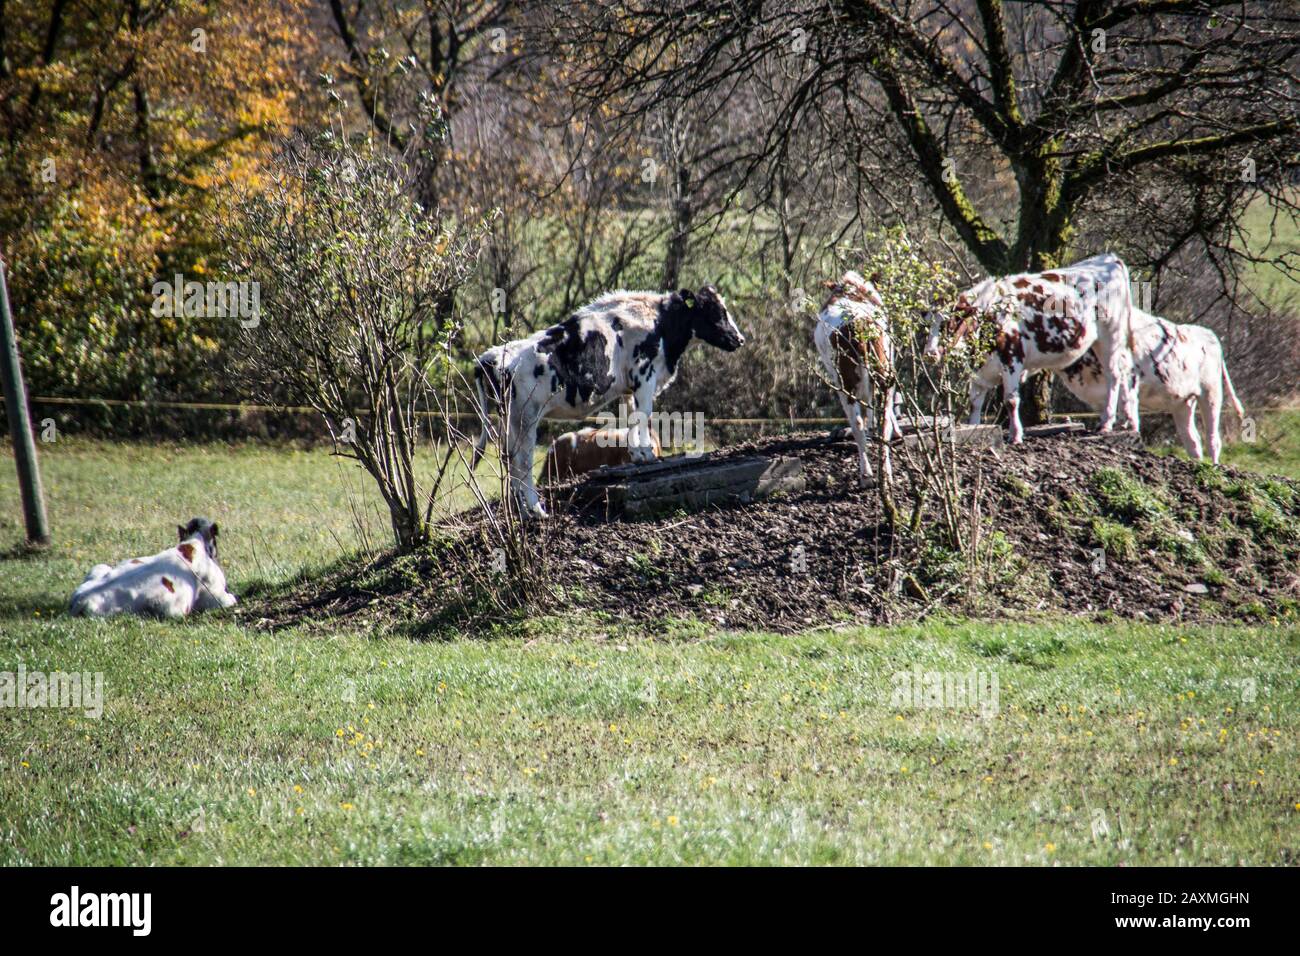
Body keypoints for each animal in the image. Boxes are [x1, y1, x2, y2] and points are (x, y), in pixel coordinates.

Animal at [470, 285, 744, 516]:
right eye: (716, 311)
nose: (740, 339)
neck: (660, 325)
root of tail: (491, 356)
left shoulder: (629, 386)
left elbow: (630, 418)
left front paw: (637, 453)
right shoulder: (645, 375)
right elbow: (644, 414)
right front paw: (646, 454)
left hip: (509, 420)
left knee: (509, 458)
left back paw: (520, 511)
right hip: (526, 417)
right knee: (522, 459)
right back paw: (536, 510)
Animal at [813, 270, 901, 486]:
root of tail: (859, 322)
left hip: (850, 381)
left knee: (863, 421)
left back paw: (872, 474)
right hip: (877, 375)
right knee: (874, 421)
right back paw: (877, 475)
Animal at [924, 253, 1138, 443]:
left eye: (947, 324)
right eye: (927, 326)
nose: (930, 354)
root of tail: (1109, 259)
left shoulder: (1012, 359)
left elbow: (1010, 401)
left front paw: (1015, 436)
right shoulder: (980, 371)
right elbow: (975, 403)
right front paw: (974, 429)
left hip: (1111, 336)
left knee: (1114, 375)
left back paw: (1107, 423)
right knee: (1124, 372)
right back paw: (1127, 422)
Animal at [1059, 308, 1245, 463]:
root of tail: (1207, 332)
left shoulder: (1130, 380)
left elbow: (1129, 408)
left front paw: (1128, 430)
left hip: (1211, 393)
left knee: (1213, 440)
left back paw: (1214, 466)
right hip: (1183, 402)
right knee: (1192, 440)